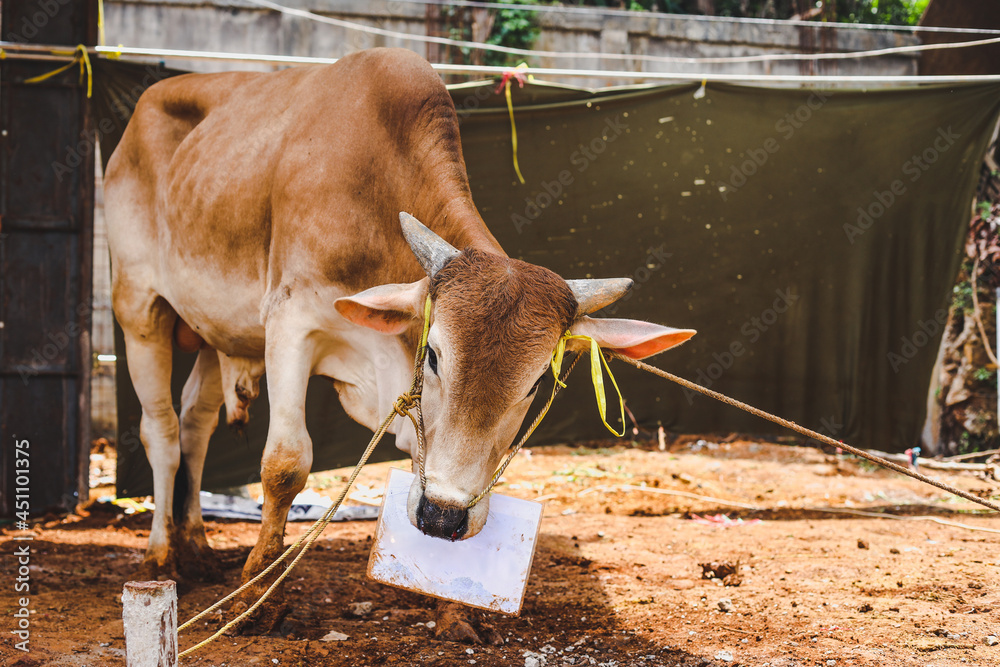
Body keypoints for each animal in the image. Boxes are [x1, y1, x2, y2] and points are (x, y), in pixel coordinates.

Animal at [105, 48, 695, 634]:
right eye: (433, 355)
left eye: (533, 385)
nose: (443, 514)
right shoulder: (291, 322)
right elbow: (286, 464)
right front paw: (255, 595)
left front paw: (451, 607)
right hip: (139, 308)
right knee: (161, 432)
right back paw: (161, 555)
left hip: (216, 334)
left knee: (194, 425)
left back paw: (198, 548)